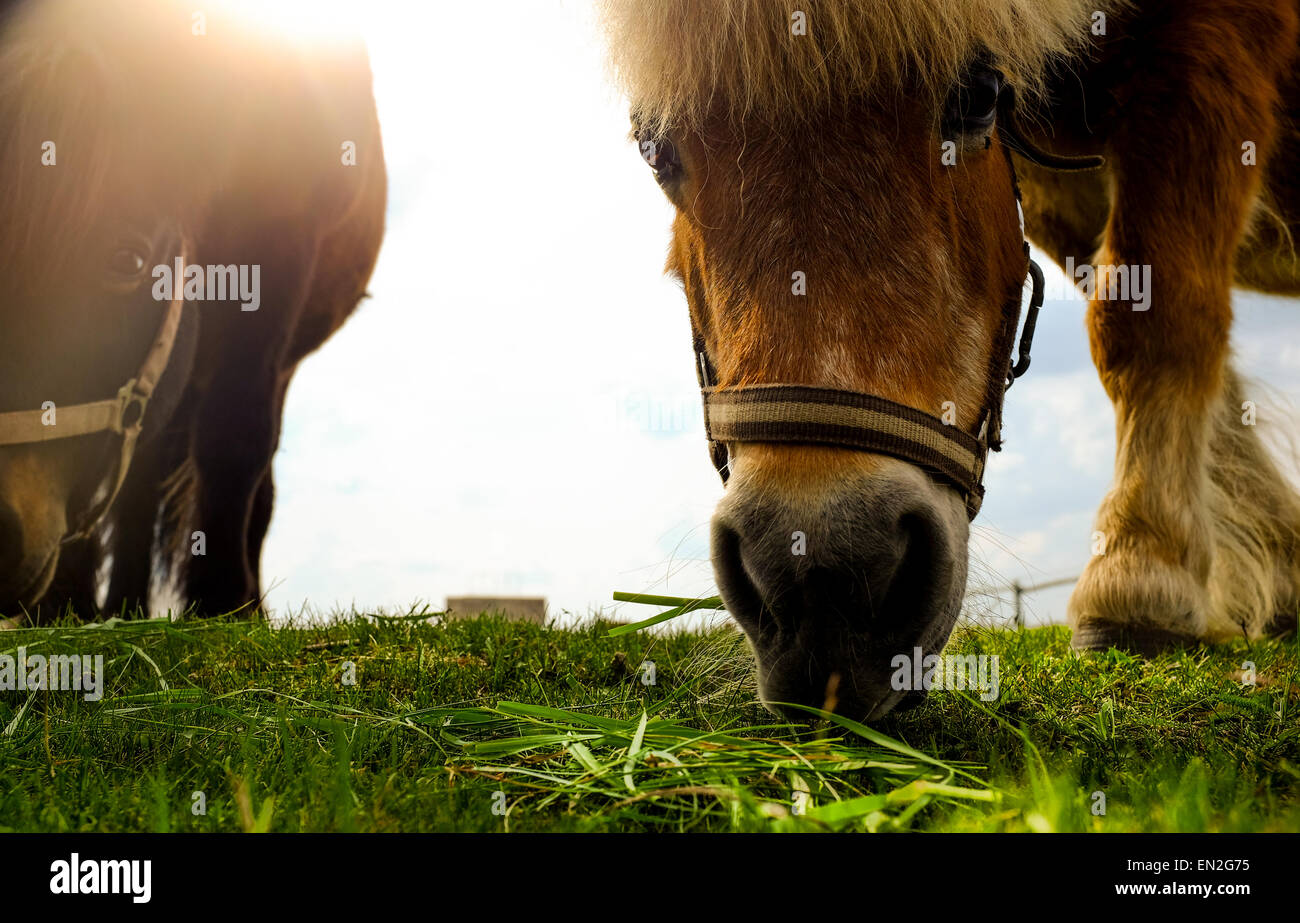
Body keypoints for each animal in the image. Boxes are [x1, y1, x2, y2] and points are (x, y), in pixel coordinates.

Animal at [599, 0, 1300, 720]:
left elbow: (1152, 317)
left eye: (978, 99)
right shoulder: (1054, 185)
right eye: (653, 150)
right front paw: (1277, 565)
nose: (819, 582)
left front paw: (1141, 574)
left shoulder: (1207, 54)